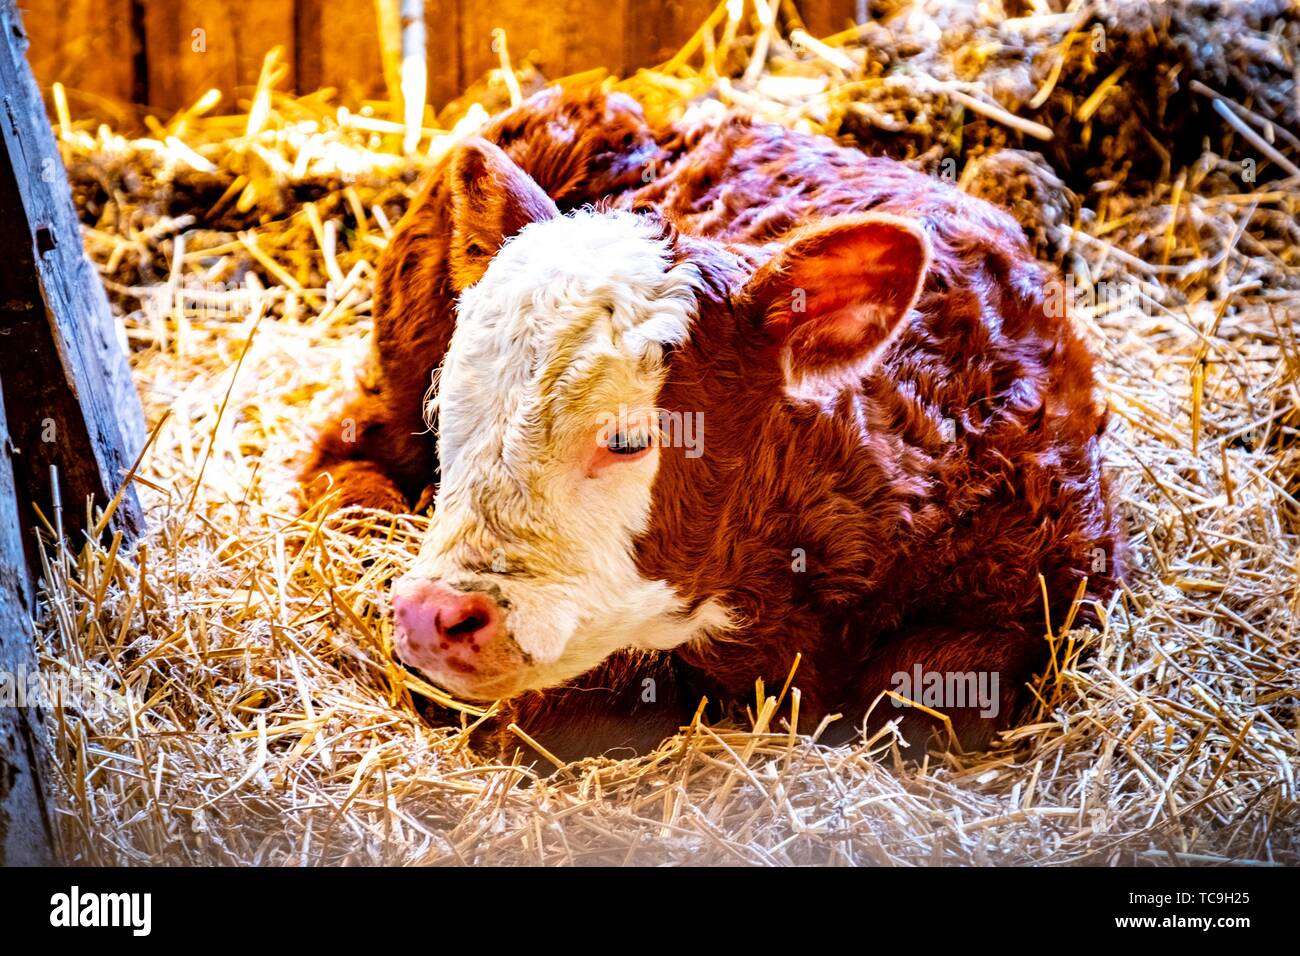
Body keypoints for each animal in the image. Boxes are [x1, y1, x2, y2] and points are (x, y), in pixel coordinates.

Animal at [307, 91, 1122, 763]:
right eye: (452, 412)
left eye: (628, 440)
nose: (429, 614)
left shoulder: (1066, 562)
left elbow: (922, 690)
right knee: (346, 439)